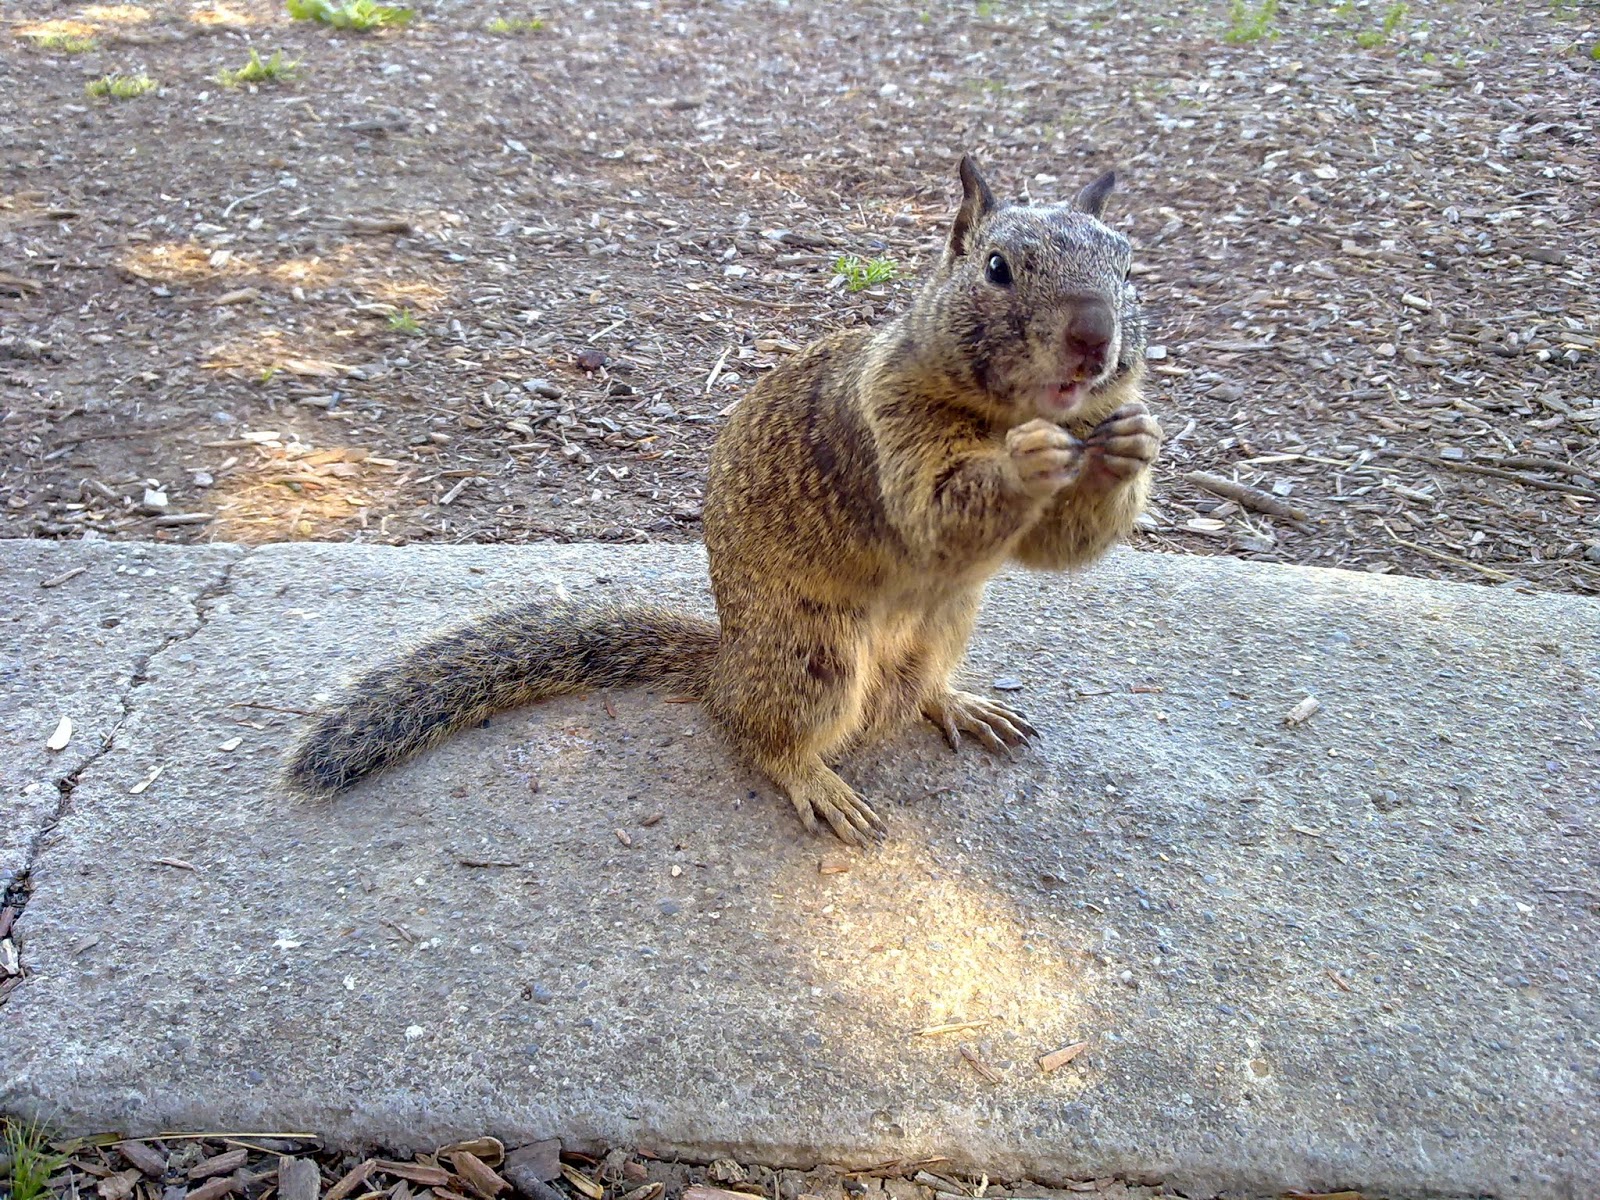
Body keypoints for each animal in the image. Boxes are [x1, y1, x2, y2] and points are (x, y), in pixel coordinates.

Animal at [284, 155, 1162, 846]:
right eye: (997, 268)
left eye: (1129, 269)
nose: (1094, 338)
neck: (1004, 412)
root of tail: (726, 663)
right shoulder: (885, 425)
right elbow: (936, 512)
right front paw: (1028, 459)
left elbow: (1060, 545)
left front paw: (1132, 445)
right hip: (812, 656)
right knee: (754, 732)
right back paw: (814, 778)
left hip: (946, 625)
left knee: (914, 692)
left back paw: (958, 702)